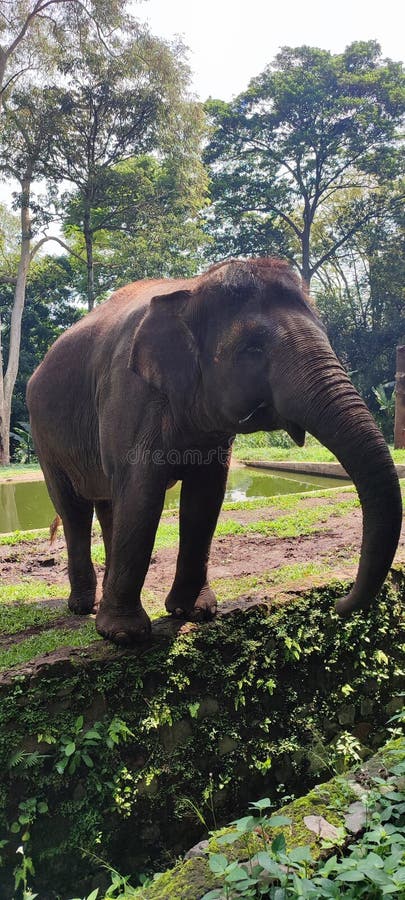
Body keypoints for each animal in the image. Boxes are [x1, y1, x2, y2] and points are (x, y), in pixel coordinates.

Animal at [27, 257, 402, 646]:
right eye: (253, 348)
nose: (340, 604)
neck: (193, 288)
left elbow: (205, 497)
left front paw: (194, 612)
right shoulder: (128, 394)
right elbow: (141, 493)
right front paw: (124, 635)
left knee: (107, 505)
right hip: (42, 434)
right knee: (74, 509)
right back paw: (82, 607)